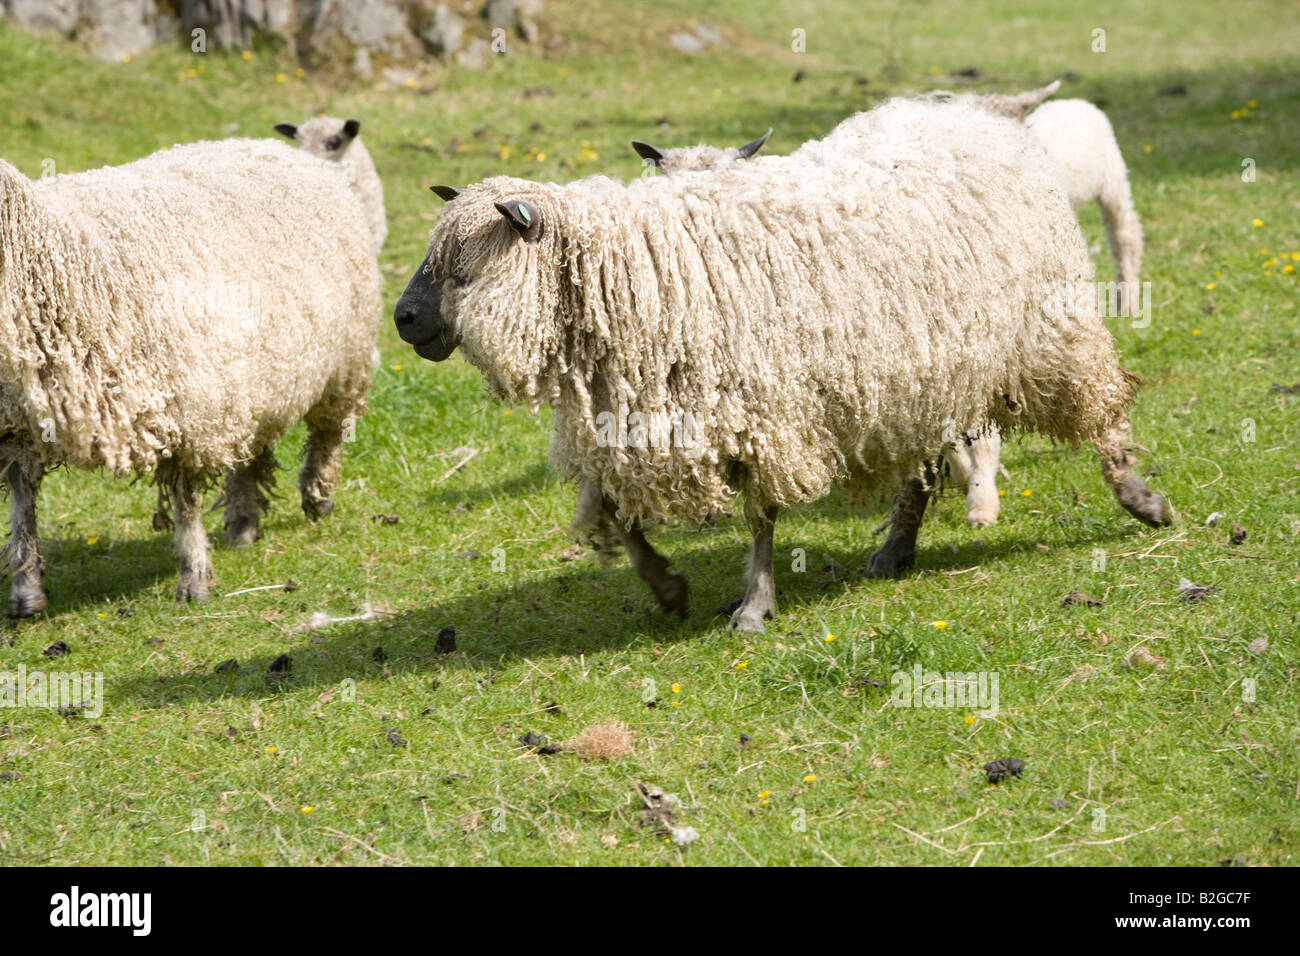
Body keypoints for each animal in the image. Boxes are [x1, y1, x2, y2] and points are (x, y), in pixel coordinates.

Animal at [0, 138, 381, 615]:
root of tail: (274, 146)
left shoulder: (189, 411)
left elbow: (185, 500)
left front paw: (194, 575)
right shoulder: (20, 422)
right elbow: (22, 498)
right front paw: (26, 589)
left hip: (342, 362)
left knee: (327, 434)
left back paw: (317, 496)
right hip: (253, 376)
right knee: (251, 447)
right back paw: (244, 522)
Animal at [394, 96, 1171, 633]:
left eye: (463, 268)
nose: (402, 319)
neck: (639, 270)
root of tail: (968, 115)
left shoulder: (763, 408)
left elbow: (761, 516)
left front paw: (753, 605)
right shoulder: (635, 423)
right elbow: (616, 513)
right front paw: (668, 586)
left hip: (1049, 331)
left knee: (1103, 413)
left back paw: (1141, 499)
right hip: (920, 372)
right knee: (920, 465)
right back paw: (898, 547)